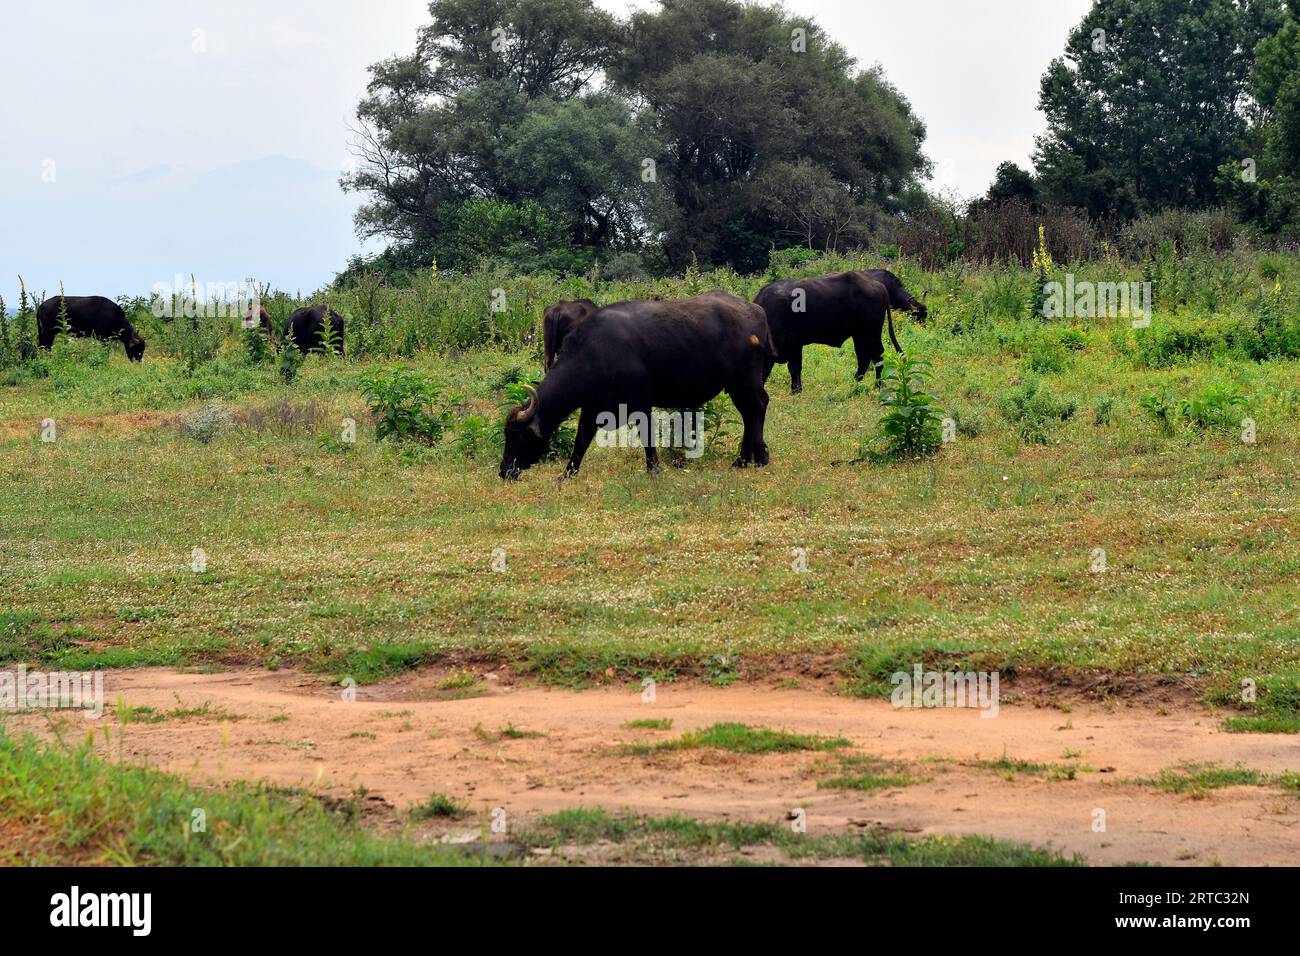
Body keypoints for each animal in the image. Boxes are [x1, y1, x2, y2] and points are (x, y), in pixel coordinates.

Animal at [501, 291, 775, 478]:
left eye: (516, 436)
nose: (505, 471)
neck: (593, 353)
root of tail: (756, 311)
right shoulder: (592, 407)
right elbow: (581, 440)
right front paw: (567, 474)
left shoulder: (640, 402)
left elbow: (647, 436)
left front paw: (654, 469)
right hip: (736, 386)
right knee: (749, 413)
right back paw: (742, 459)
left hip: (746, 380)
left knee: (758, 406)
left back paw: (759, 456)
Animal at [754, 269, 927, 393]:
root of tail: (880, 287)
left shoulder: (795, 344)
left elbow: (794, 367)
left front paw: (796, 390)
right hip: (860, 334)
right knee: (864, 357)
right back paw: (856, 380)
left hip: (871, 332)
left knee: (877, 355)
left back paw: (878, 384)